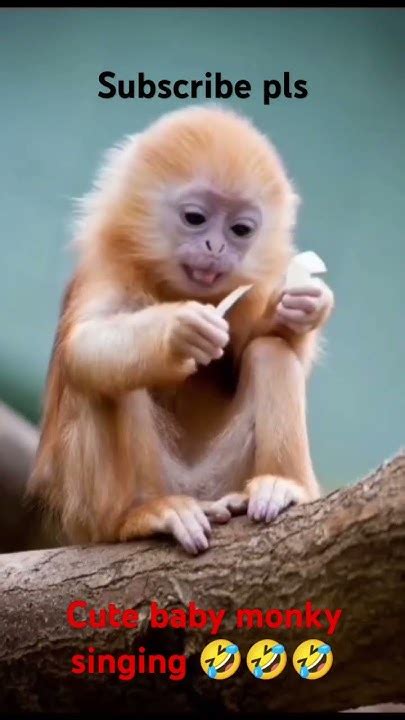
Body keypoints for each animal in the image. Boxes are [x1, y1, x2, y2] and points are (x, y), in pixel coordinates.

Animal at [27, 105, 334, 555]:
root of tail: (198, 492)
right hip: (90, 513)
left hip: (223, 475)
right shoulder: (106, 274)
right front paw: (179, 332)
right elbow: (83, 347)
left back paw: (283, 485)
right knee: (106, 380)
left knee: (269, 351)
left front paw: (306, 307)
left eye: (240, 230)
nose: (215, 248)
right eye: (195, 218)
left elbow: (257, 345)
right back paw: (143, 513)